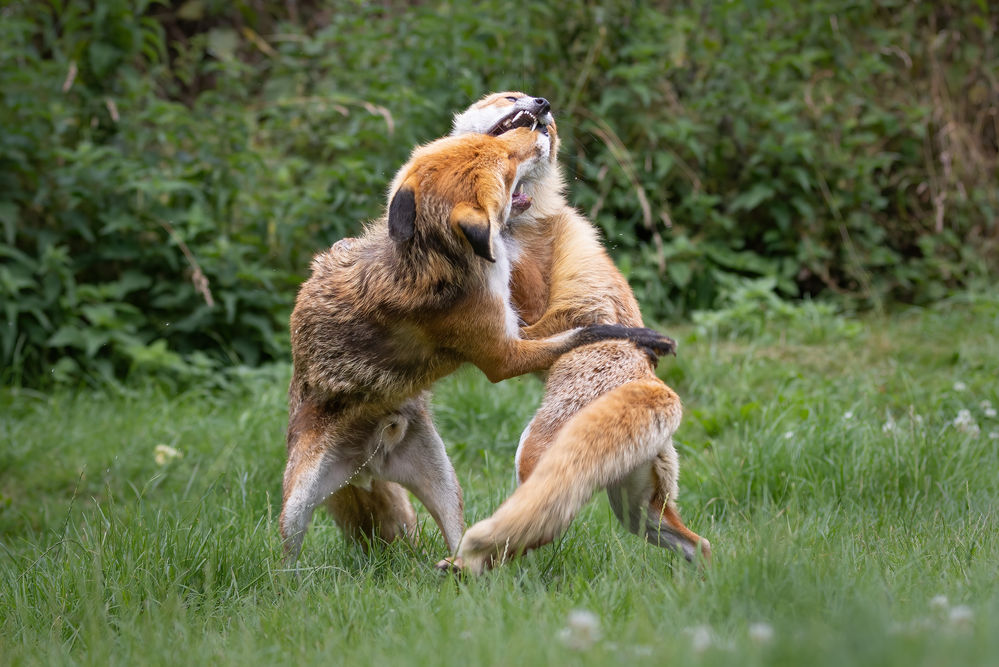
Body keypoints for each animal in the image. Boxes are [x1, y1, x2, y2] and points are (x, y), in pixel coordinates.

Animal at [280, 126, 678, 563]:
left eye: (497, 145)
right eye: (506, 166)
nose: (538, 125)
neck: (435, 255)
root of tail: (368, 465)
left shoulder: (509, 328)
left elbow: (564, 321)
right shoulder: (500, 356)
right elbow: (582, 331)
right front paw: (640, 335)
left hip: (443, 483)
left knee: (456, 537)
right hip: (296, 507)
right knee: (284, 560)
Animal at [440, 92, 711, 574]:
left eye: (549, 129)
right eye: (511, 98)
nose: (542, 104)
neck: (519, 218)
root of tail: (654, 385)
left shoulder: (527, 300)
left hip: (535, 461)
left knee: (529, 528)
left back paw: (471, 569)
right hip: (639, 512)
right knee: (701, 545)